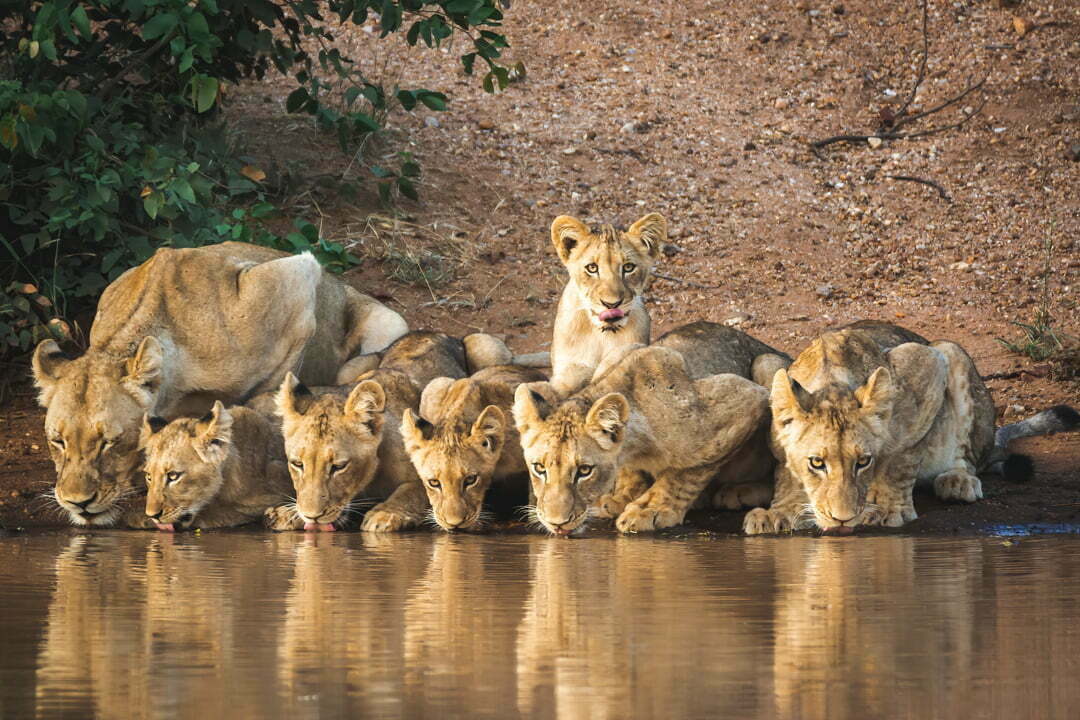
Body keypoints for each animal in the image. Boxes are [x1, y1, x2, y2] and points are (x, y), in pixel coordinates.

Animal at [513, 344, 769, 535]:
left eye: (585, 470)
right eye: (539, 468)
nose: (557, 523)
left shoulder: (746, 399)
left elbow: (683, 473)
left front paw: (651, 509)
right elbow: (631, 470)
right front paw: (621, 497)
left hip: (767, 366)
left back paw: (738, 494)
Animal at [744, 323, 1079, 534]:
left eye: (862, 462)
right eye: (816, 462)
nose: (843, 519)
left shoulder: (925, 361)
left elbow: (901, 456)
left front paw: (889, 508)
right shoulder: (768, 364)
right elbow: (784, 470)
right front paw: (779, 511)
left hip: (950, 350)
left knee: (969, 458)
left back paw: (957, 480)